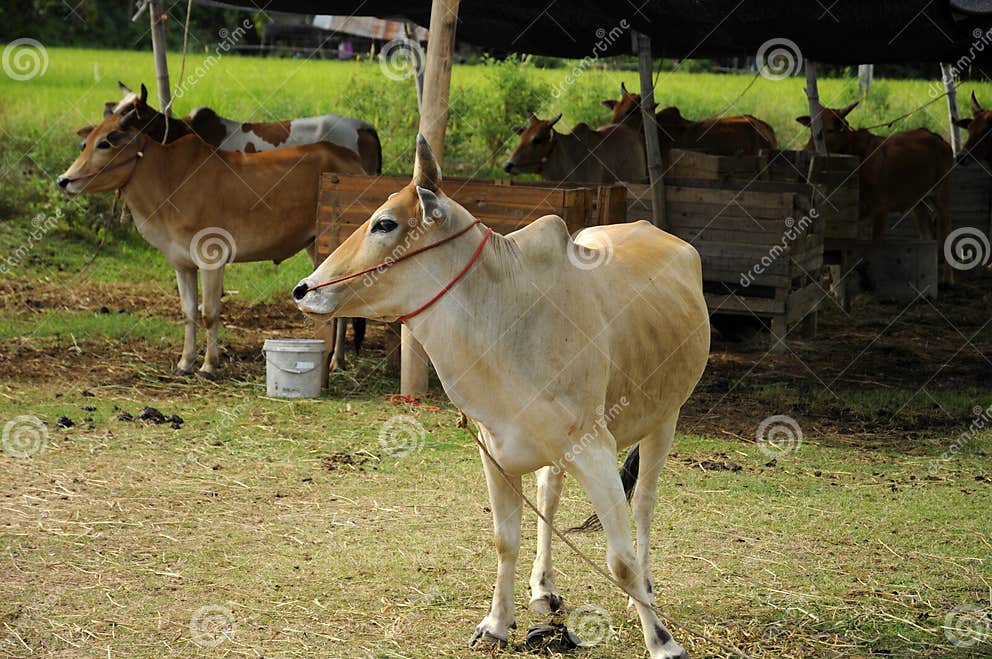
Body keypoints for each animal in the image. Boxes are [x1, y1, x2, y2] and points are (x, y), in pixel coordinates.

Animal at [57, 108, 366, 379]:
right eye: (85, 143)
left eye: (105, 143)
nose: (64, 180)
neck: (167, 179)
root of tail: (353, 162)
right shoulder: (182, 264)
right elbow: (188, 312)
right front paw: (184, 363)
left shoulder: (211, 259)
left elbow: (209, 313)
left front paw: (208, 366)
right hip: (317, 246)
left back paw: (337, 361)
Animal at [294, 135, 710, 659]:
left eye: (385, 223)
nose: (303, 289)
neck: (507, 316)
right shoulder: (496, 451)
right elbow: (504, 540)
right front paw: (496, 623)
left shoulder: (595, 449)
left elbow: (621, 559)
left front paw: (661, 639)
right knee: (550, 494)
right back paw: (544, 587)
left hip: (664, 419)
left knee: (644, 508)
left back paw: (647, 591)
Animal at [795, 102, 954, 282]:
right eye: (811, 130)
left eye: (829, 130)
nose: (806, 153)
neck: (858, 157)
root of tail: (937, 138)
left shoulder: (880, 210)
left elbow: (875, 244)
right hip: (918, 202)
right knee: (927, 235)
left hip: (942, 195)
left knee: (947, 231)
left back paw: (948, 279)